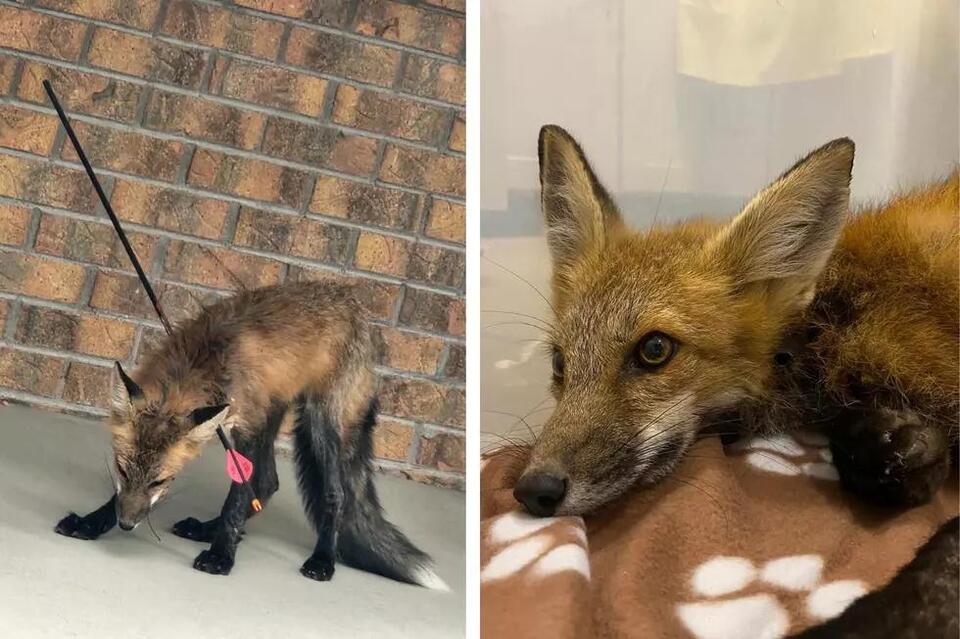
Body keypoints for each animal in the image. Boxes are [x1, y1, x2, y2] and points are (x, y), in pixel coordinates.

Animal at [53, 280, 447, 589]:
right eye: (122, 470)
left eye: (159, 482)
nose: (126, 525)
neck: (210, 361)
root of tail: (358, 309)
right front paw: (92, 522)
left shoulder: (248, 428)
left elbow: (237, 499)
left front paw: (221, 556)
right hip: (276, 413)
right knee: (269, 482)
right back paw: (207, 529)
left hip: (321, 425)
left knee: (332, 494)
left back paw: (322, 559)